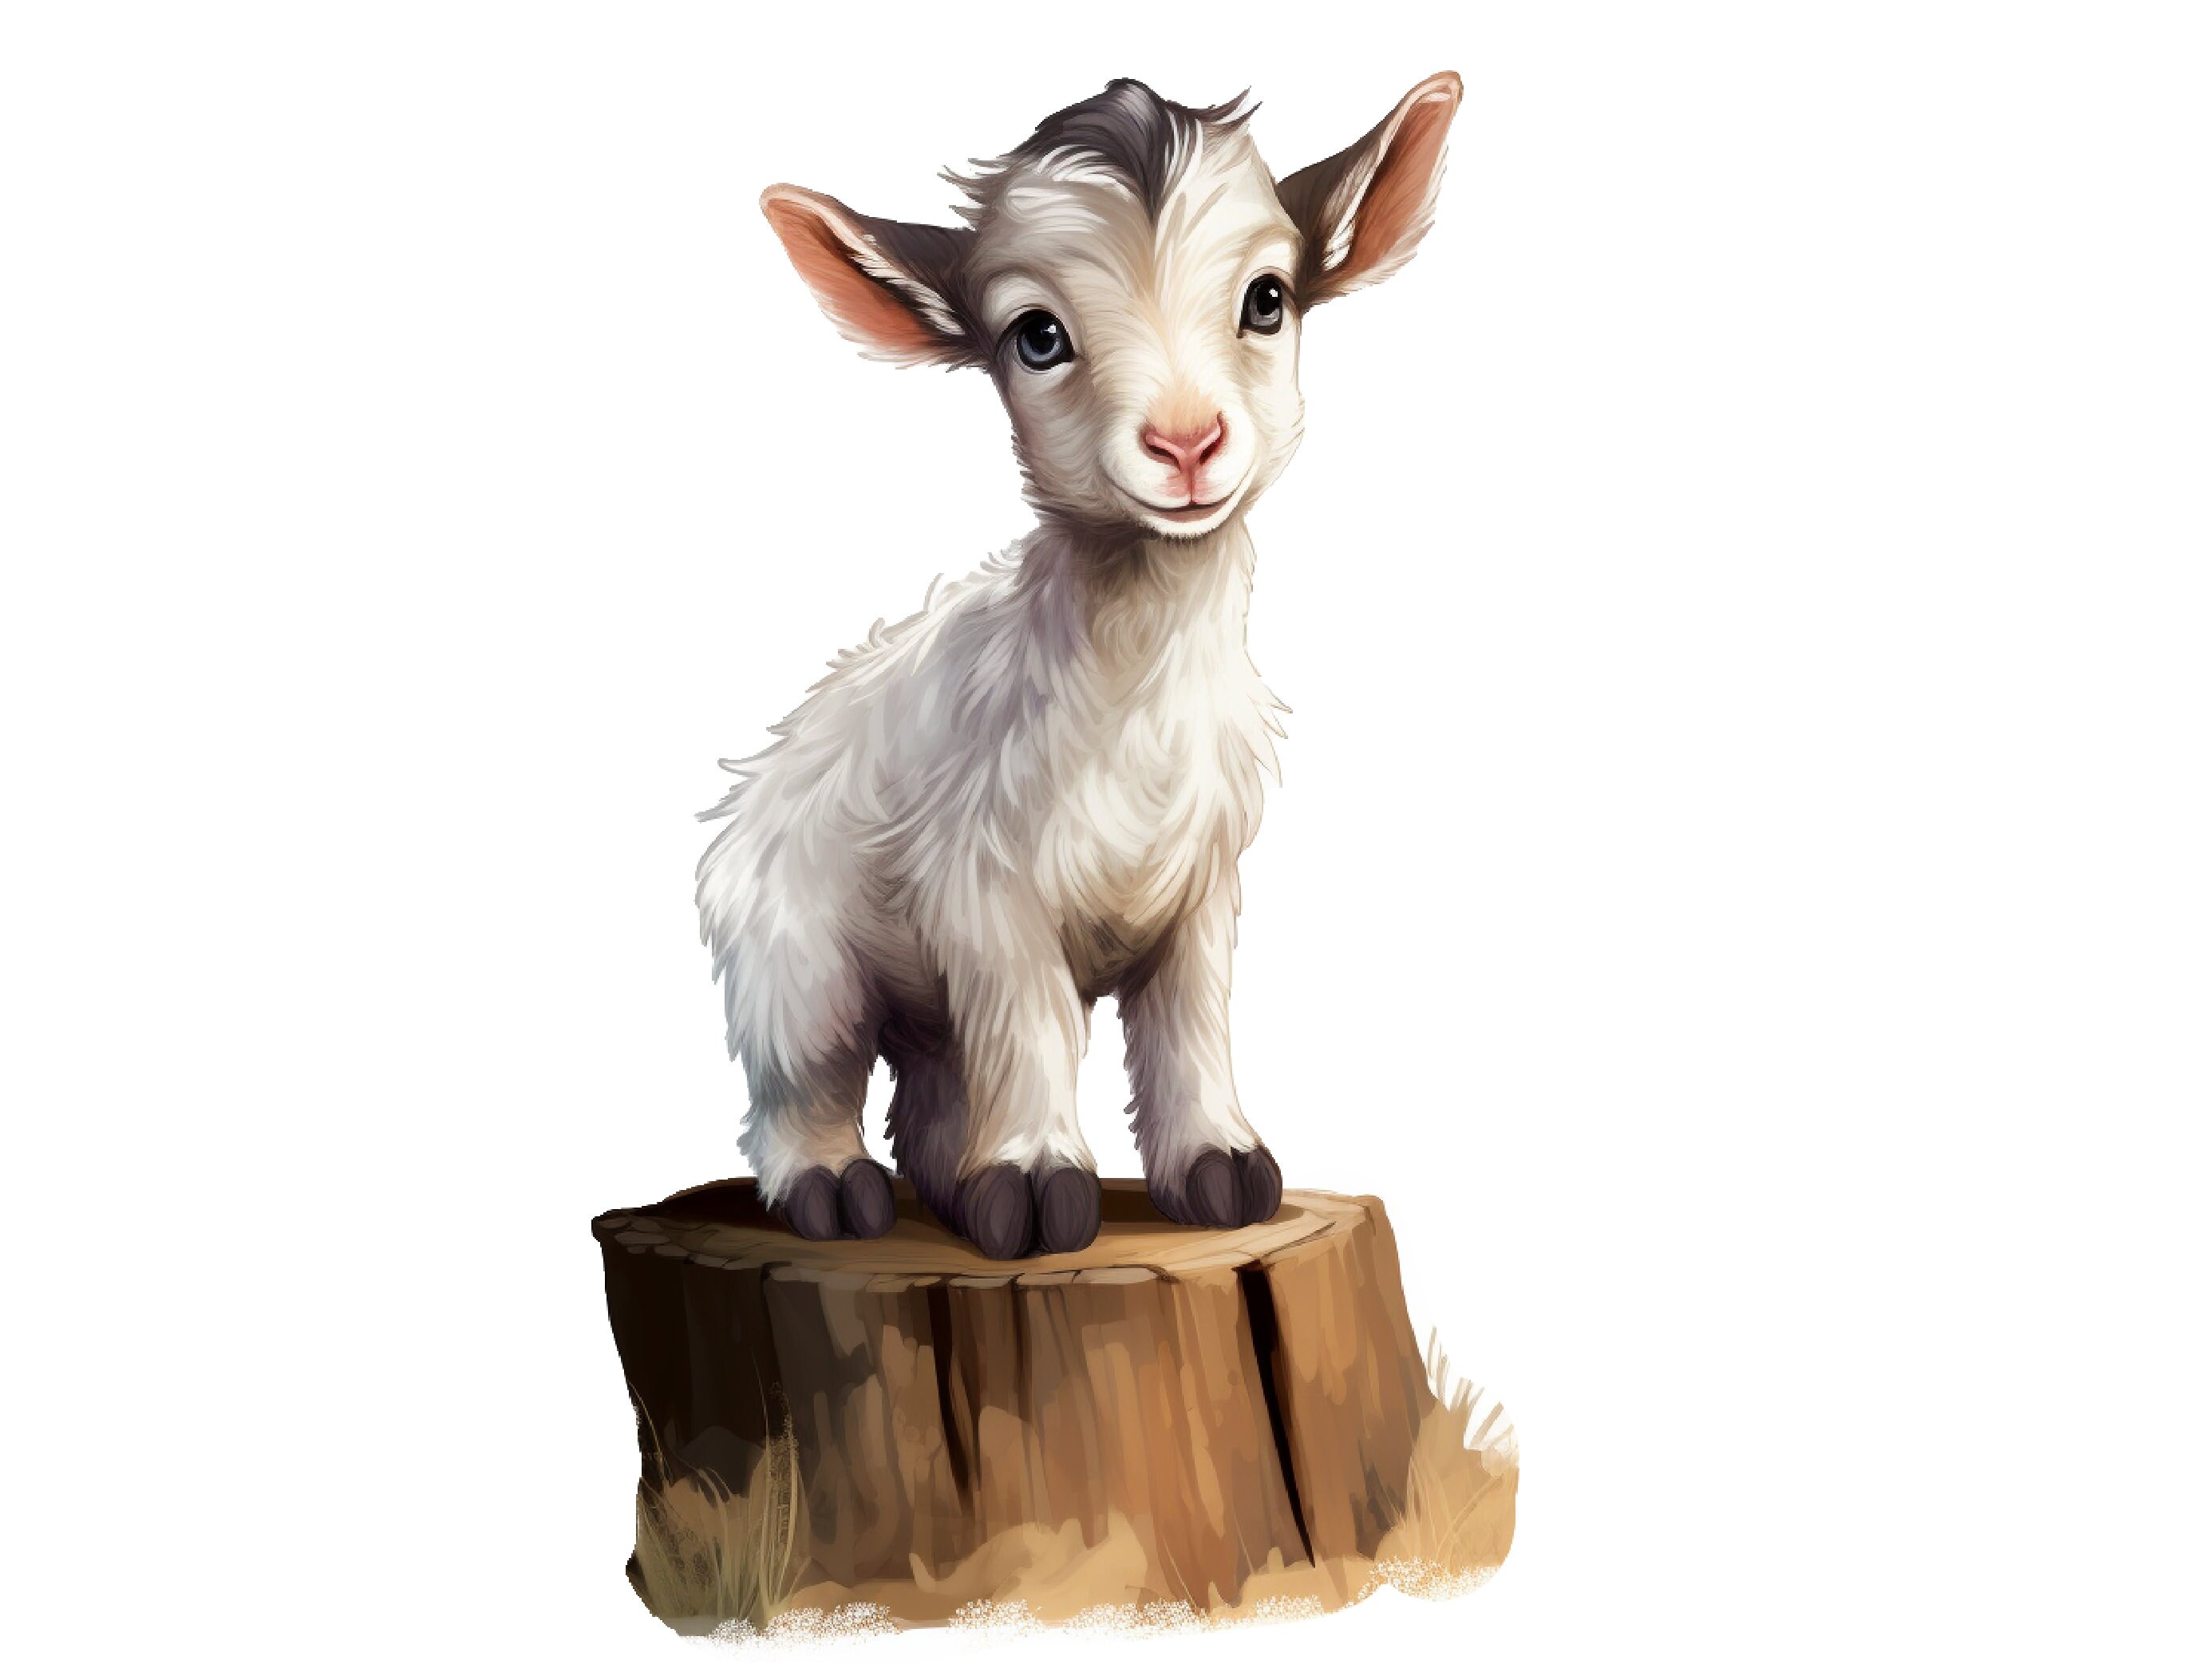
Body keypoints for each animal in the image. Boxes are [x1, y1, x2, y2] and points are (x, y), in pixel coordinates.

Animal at [699, 74, 1461, 1259]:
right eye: (1037, 334)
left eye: (1268, 299)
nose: (1186, 441)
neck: (1135, 697)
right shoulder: (979, 884)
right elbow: (1029, 1021)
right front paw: (1031, 1183)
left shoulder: (1202, 883)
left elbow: (1191, 1020)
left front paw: (1220, 1166)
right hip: (794, 954)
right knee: (805, 1077)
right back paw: (832, 1187)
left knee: (930, 1090)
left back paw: (947, 1183)